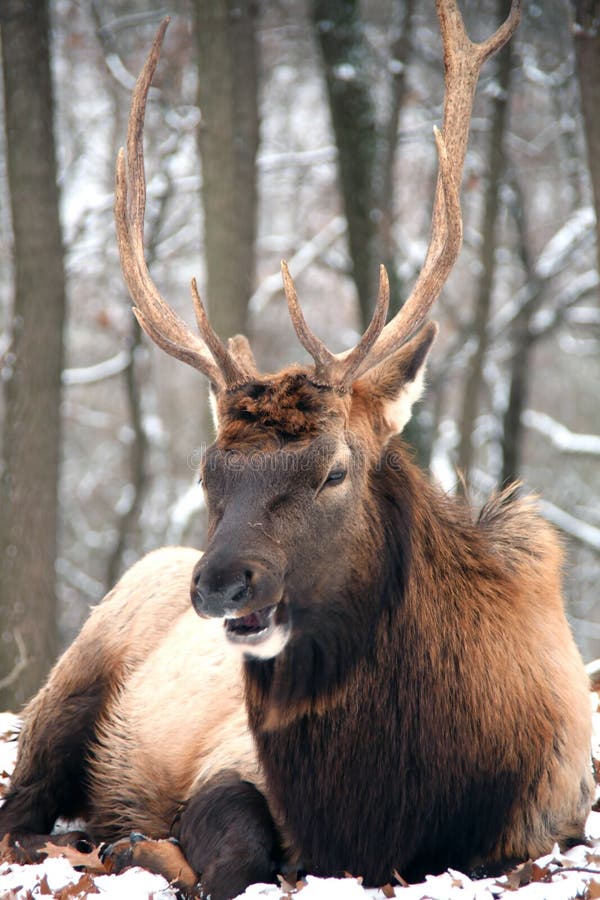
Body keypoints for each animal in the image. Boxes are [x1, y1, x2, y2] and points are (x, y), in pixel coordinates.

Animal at [0, 3, 593, 899]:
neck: (376, 813)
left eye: (335, 469)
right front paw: (134, 845)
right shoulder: (226, 762)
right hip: (64, 686)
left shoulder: (545, 822)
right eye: (208, 470)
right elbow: (235, 856)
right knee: (18, 814)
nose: (218, 583)